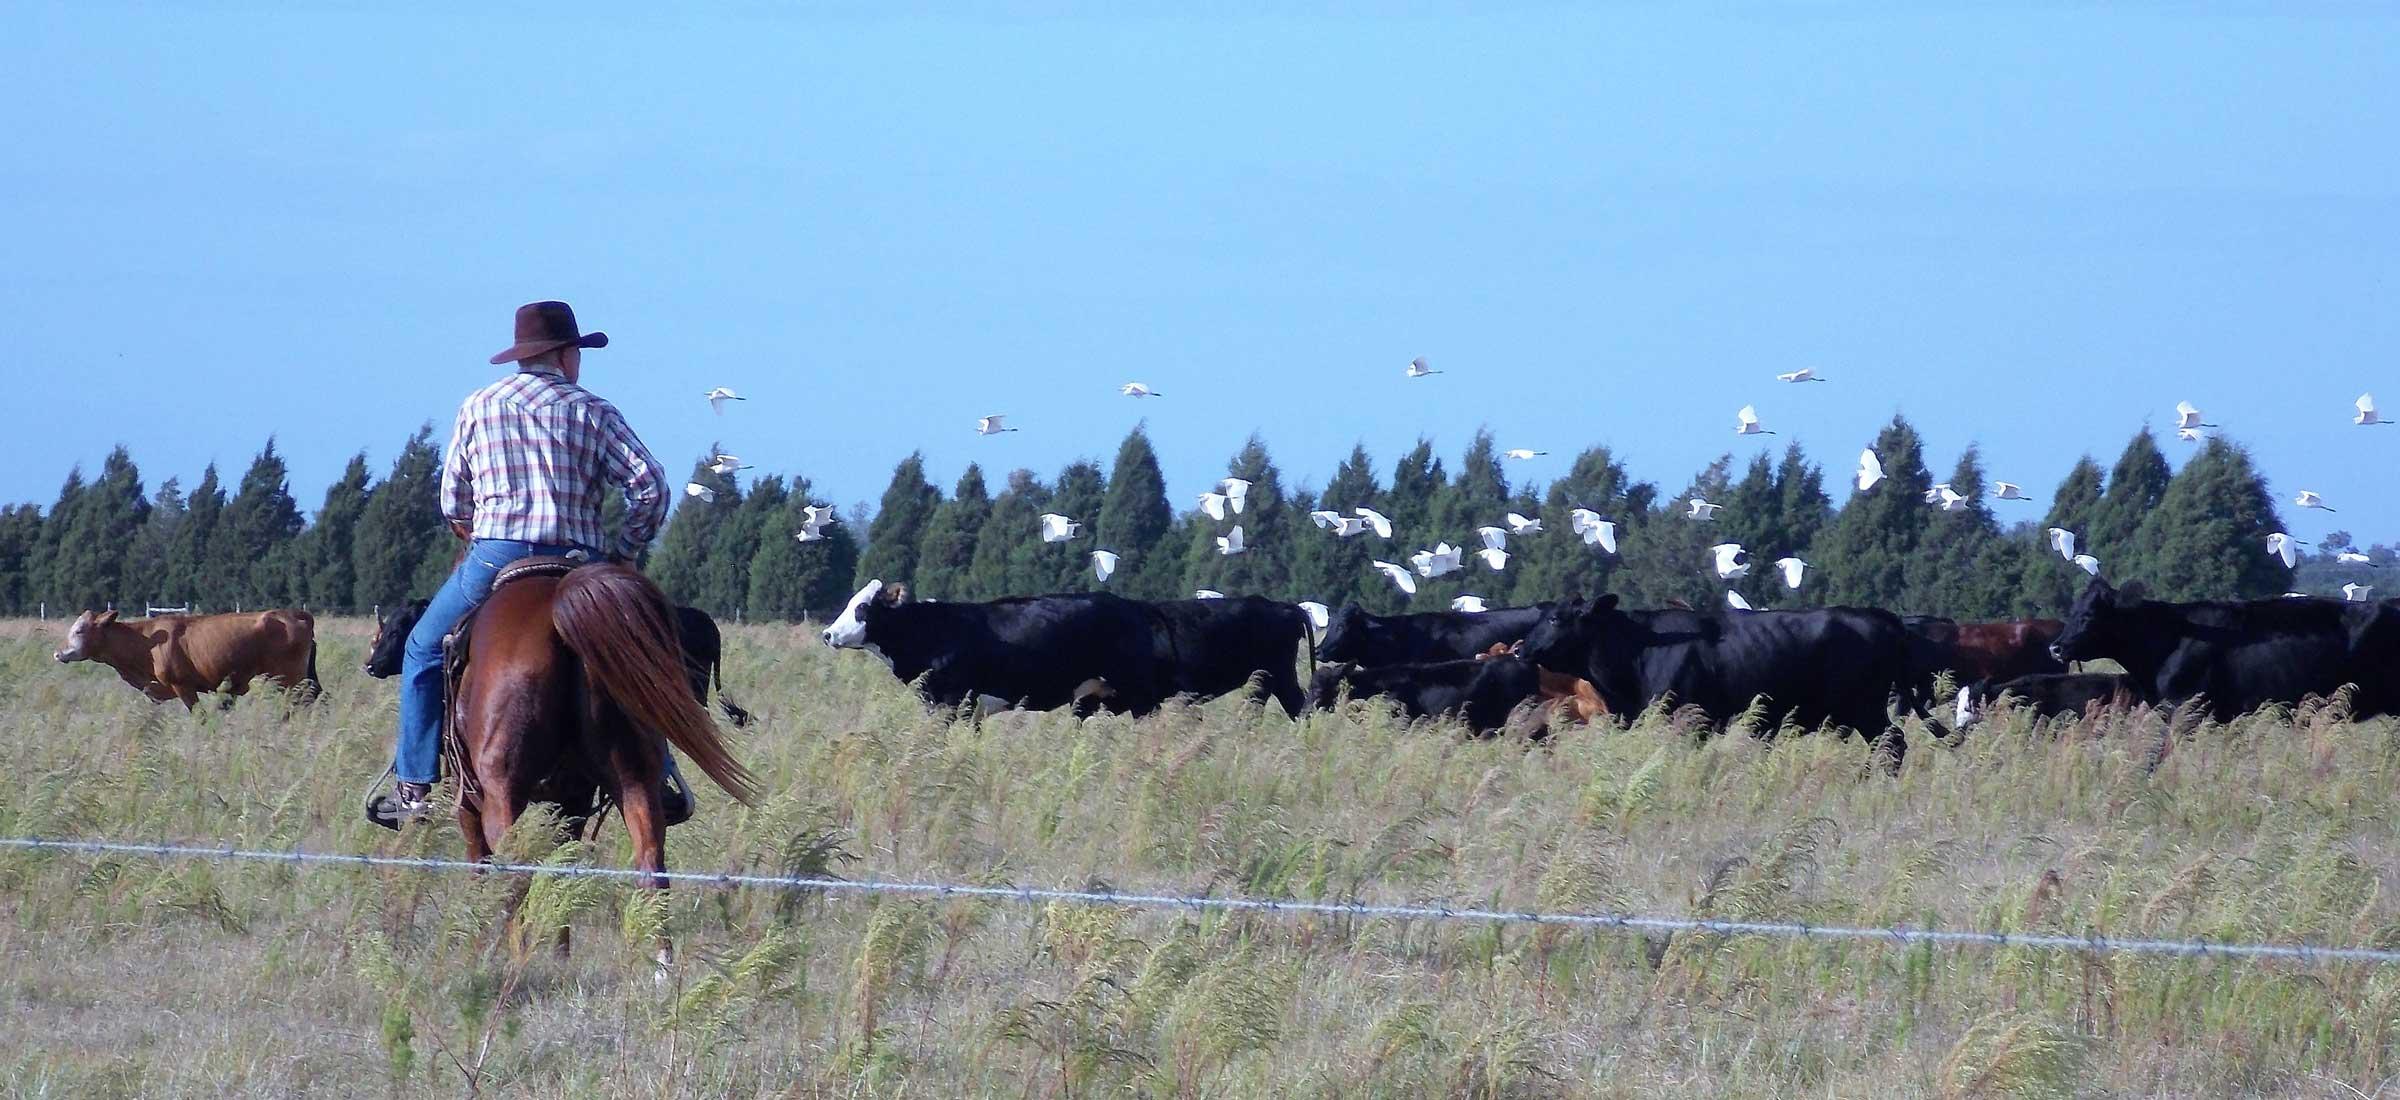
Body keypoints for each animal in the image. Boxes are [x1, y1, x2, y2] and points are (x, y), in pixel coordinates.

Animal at [821, 582, 1171, 715]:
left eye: (862, 608)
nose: (827, 634)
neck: (933, 631)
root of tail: (1130, 605)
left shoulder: (950, 703)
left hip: (1139, 693)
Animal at [1517, 596, 1917, 754]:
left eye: (1555, 619)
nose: (1521, 649)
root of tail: (1878, 616)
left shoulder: (1690, 722)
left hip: (1865, 706)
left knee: (1892, 742)